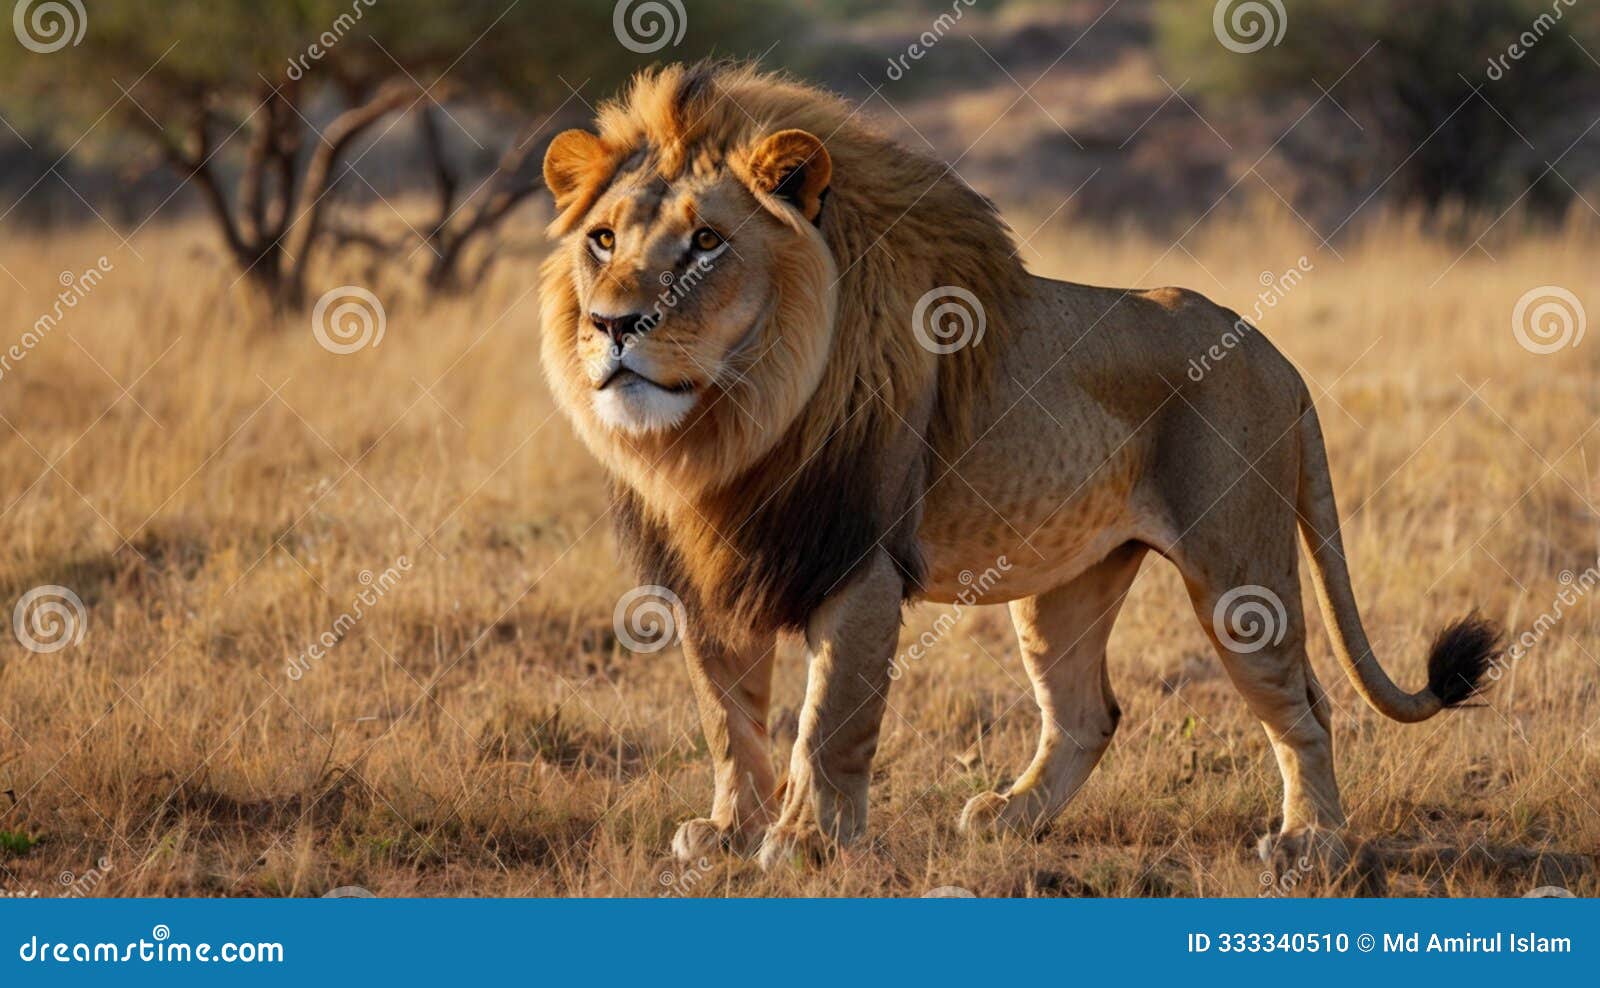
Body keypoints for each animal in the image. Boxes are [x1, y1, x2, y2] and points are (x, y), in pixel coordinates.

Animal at [537, 62, 1499, 874]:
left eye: (706, 242)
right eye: (603, 240)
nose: (613, 324)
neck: (728, 424)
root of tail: (1275, 354)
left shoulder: (859, 561)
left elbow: (829, 720)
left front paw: (805, 843)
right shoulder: (709, 571)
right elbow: (727, 717)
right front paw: (730, 832)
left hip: (1239, 569)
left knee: (1305, 703)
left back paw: (1311, 843)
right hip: (1067, 581)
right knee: (1088, 713)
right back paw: (1011, 818)